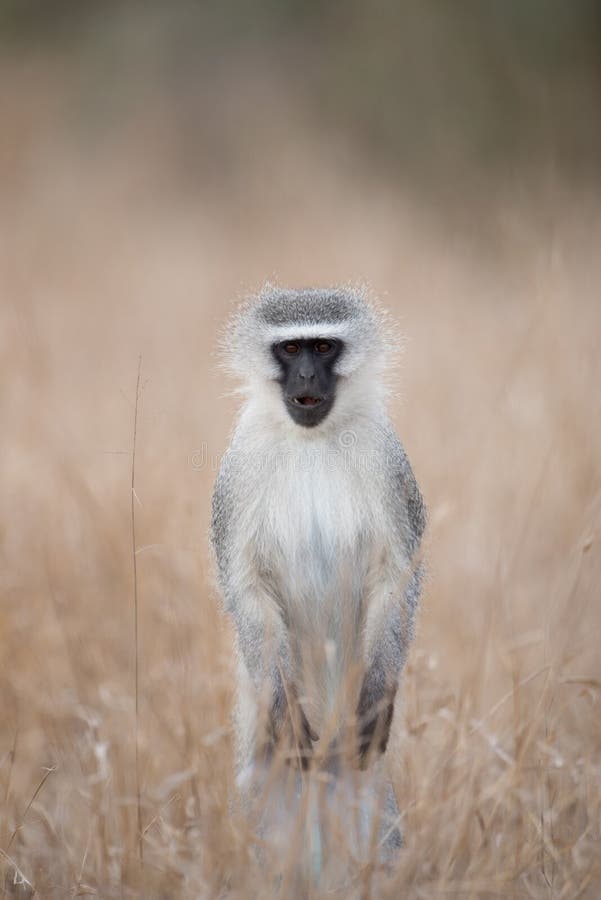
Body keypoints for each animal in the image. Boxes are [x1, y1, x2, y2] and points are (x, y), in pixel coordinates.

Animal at [211, 284, 425, 857]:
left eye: (324, 347)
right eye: (290, 349)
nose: (307, 376)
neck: (312, 439)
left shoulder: (387, 457)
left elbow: (398, 576)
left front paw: (376, 697)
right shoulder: (238, 467)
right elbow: (245, 586)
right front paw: (282, 707)